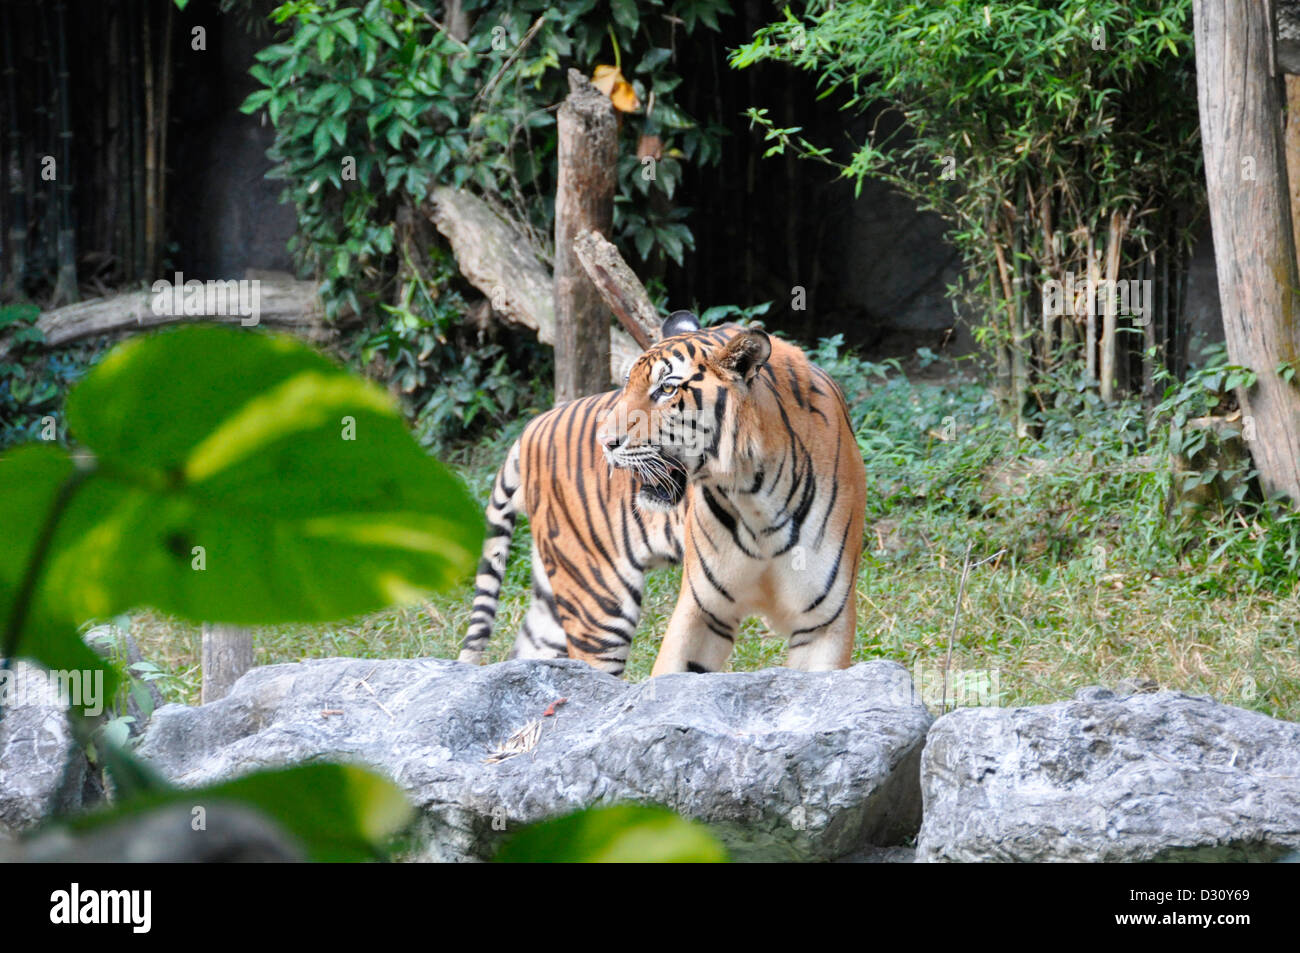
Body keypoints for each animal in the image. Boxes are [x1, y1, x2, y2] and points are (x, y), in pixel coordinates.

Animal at [457, 310, 866, 676]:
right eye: (627, 384)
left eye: (666, 389)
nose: (604, 441)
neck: (752, 494)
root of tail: (533, 426)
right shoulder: (703, 607)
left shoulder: (824, 622)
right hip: (596, 601)